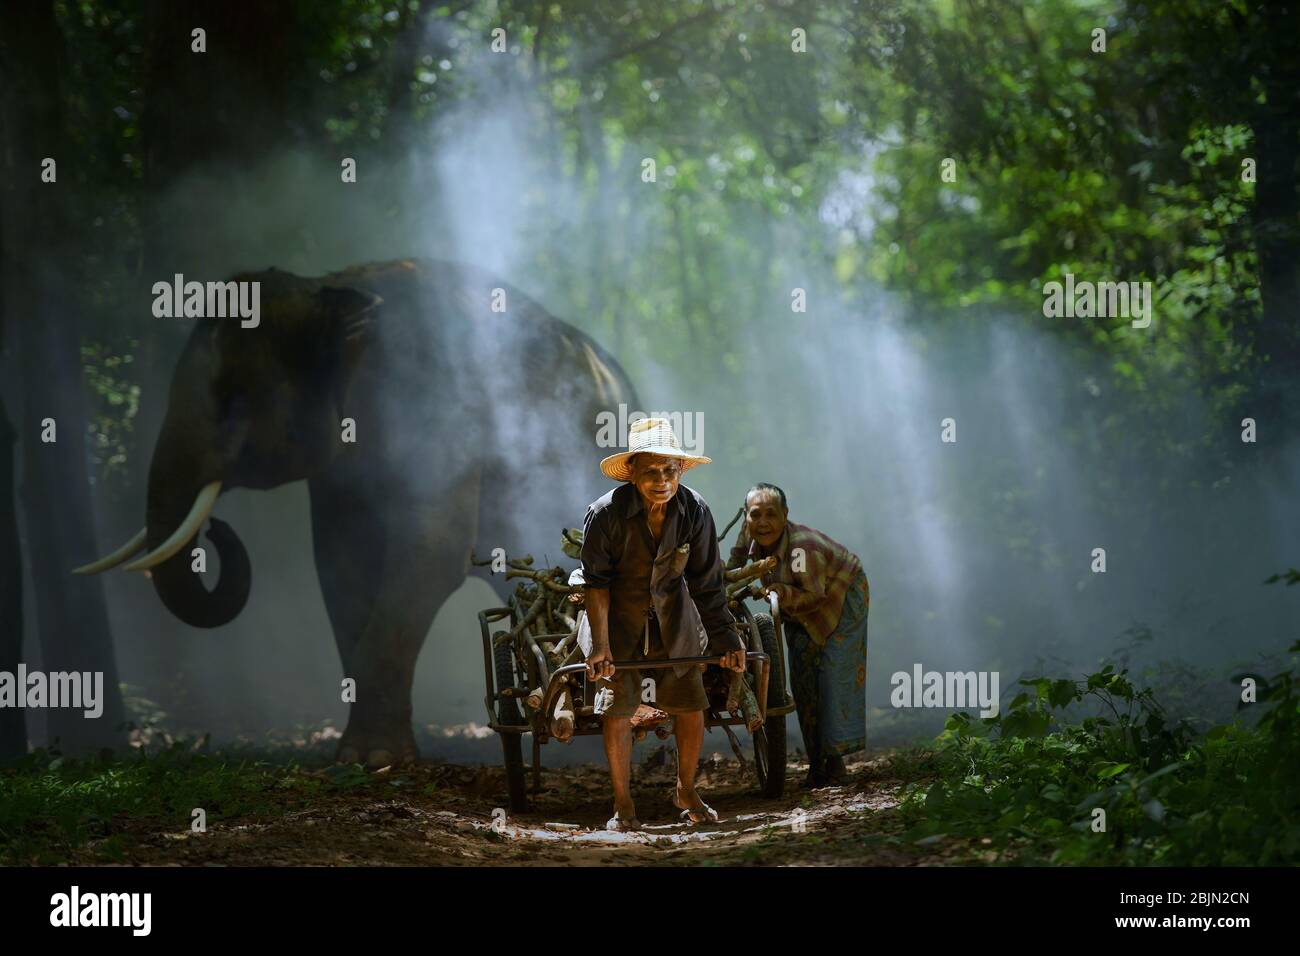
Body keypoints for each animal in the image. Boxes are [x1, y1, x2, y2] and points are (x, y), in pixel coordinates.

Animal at [76, 258, 640, 766]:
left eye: (233, 399)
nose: (215, 526)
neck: (327, 289)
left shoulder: (435, 403)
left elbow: (429, 558)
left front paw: (373, 758)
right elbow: (342, 566)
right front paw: (365, 754)